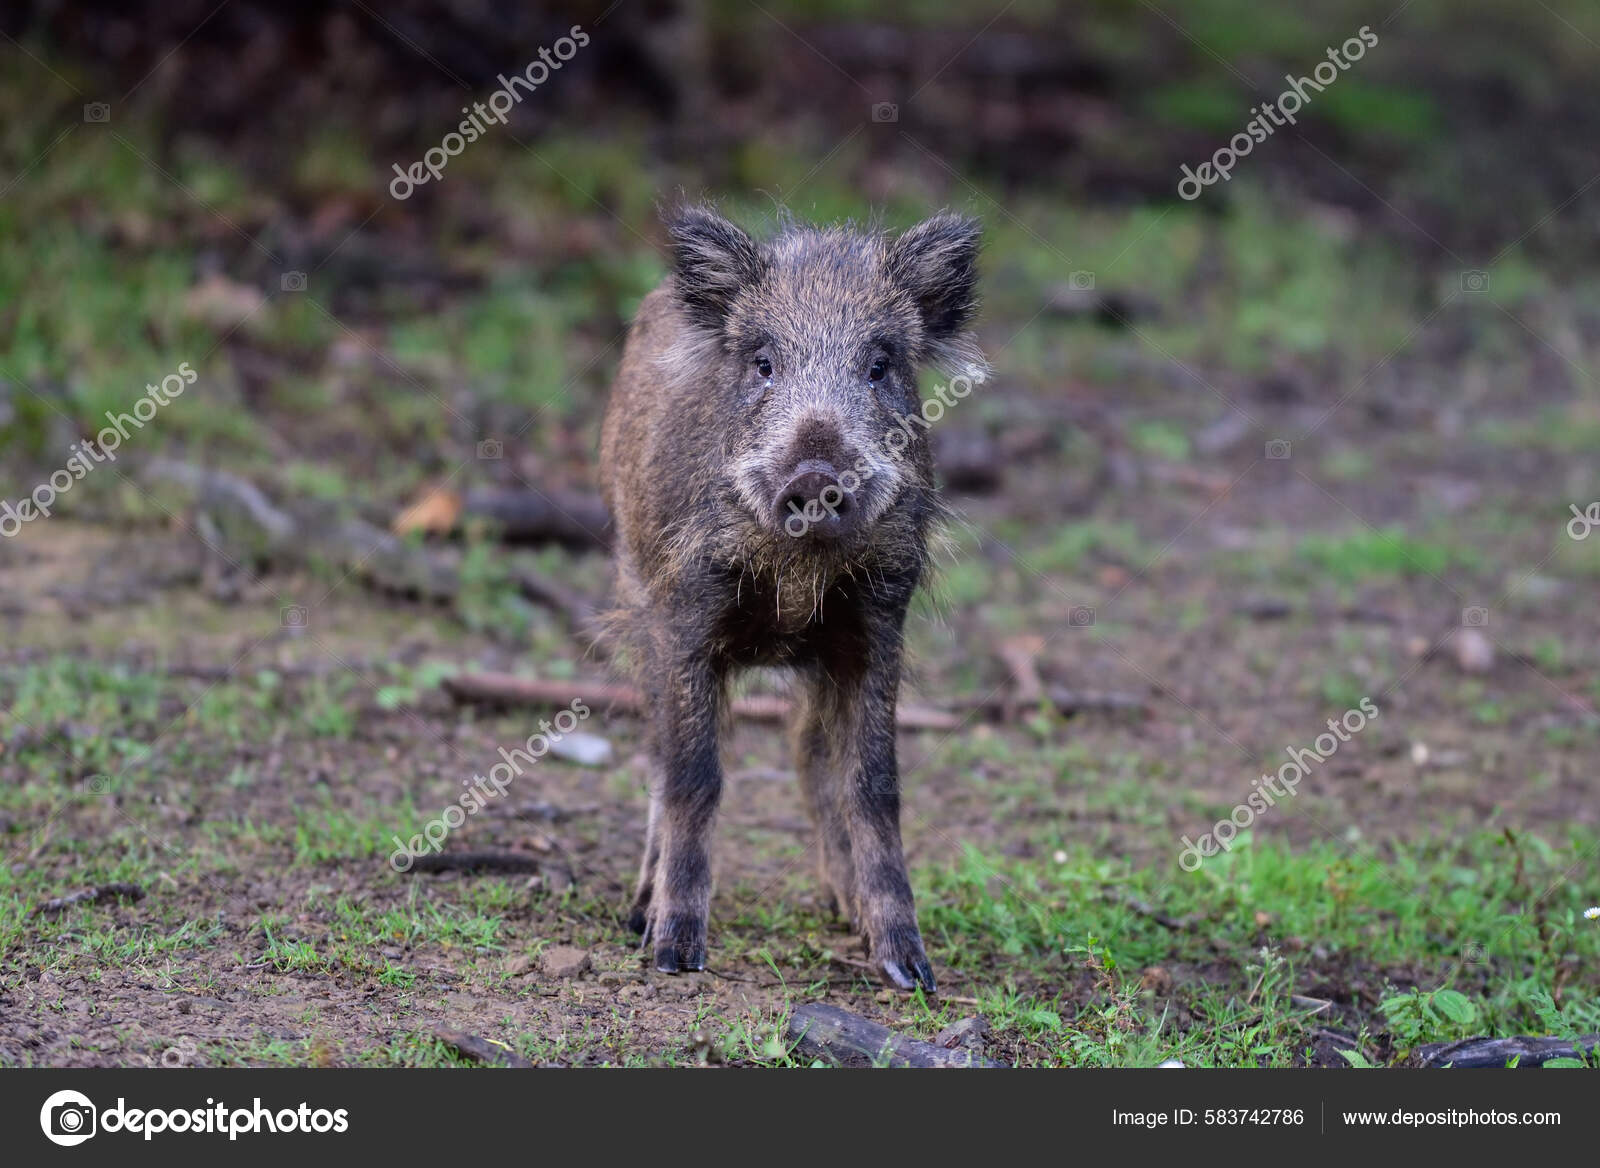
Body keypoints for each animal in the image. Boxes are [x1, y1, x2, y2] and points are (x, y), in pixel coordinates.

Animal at [598, 204, 985, 991]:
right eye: (763, 363)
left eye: (880, 365)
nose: (815, 474)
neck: (797, 576)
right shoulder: (682, 618)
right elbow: (694, 775)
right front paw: (675, 955)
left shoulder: (876, 628)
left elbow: (872, 785)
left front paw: (911, 971)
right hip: (636, 600)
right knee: (658, 751)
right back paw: (639, 914)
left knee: (808, 751)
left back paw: (844, 910)